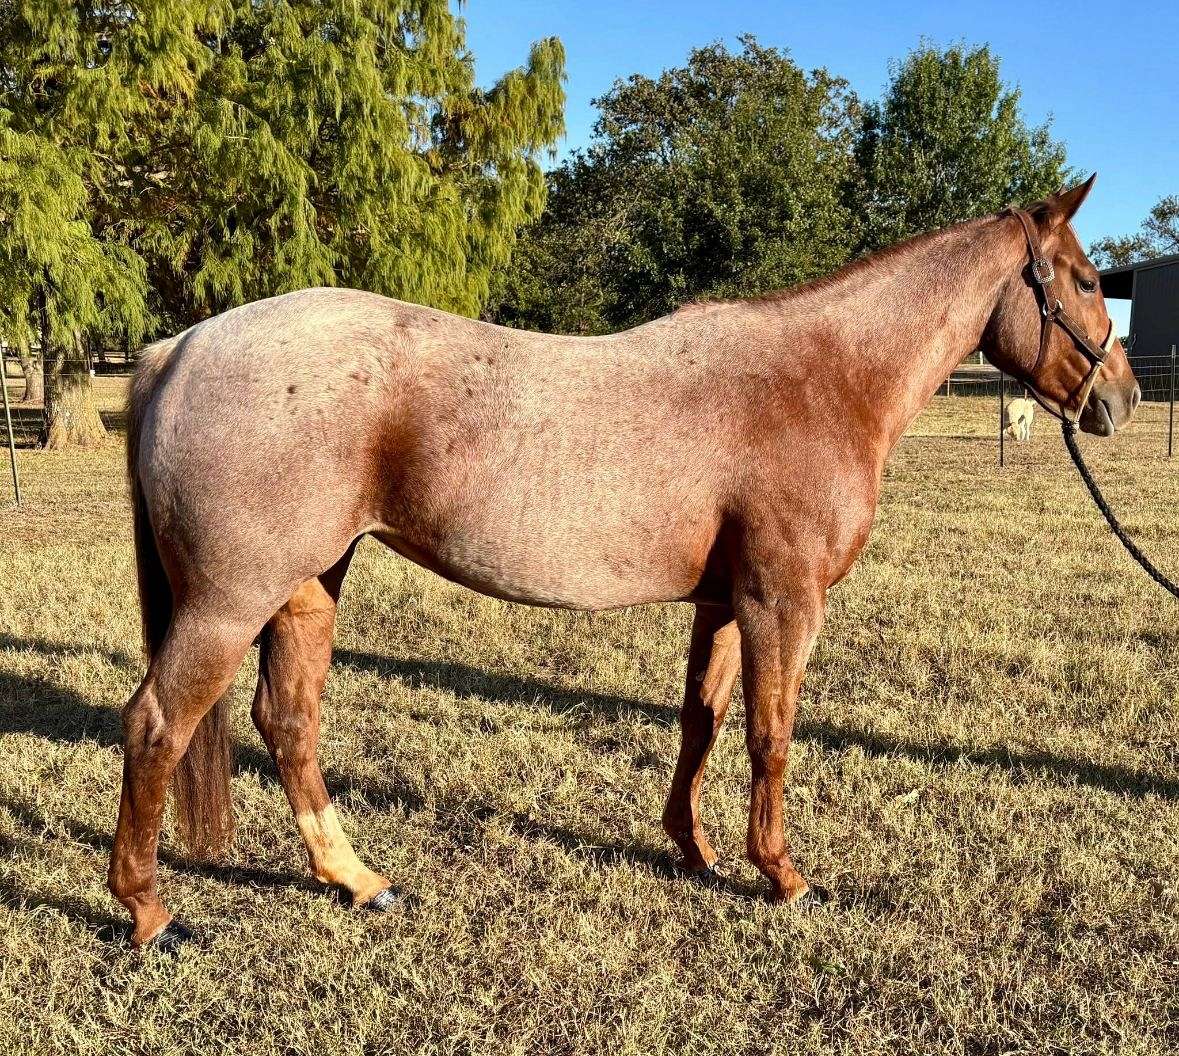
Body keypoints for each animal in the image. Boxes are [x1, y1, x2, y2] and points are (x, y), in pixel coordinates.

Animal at [113, 175, 1140, 950]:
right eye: (1087, 280)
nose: (1120, 400)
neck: (823, 379)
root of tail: (182, 346)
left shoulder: (723, 604)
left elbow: (702, 722)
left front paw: (695, 852)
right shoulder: (783, 604)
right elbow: (770, 736)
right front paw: (784, 876)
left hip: (306, 588)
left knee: (287, 722)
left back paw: (355, 879)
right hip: (230, 601)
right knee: (157, 724)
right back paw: (150, 913)